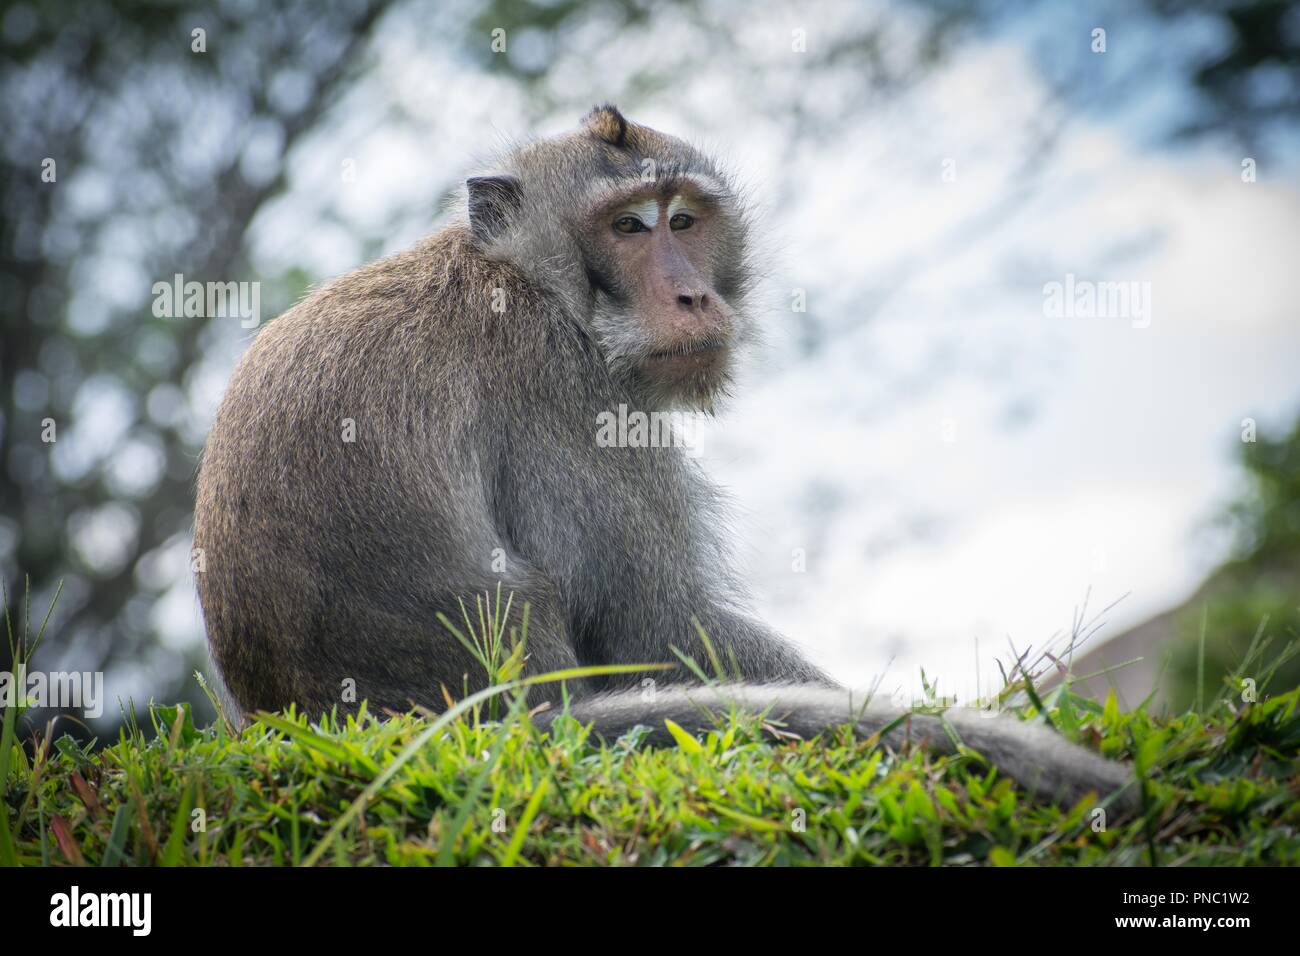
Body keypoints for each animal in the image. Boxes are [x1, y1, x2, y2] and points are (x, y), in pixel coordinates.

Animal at [193, 105, 1137, 814]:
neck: (531, 281)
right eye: (627, 227)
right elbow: (659, 623)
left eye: (683, 220)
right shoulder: (565, 392)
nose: (691, 294)